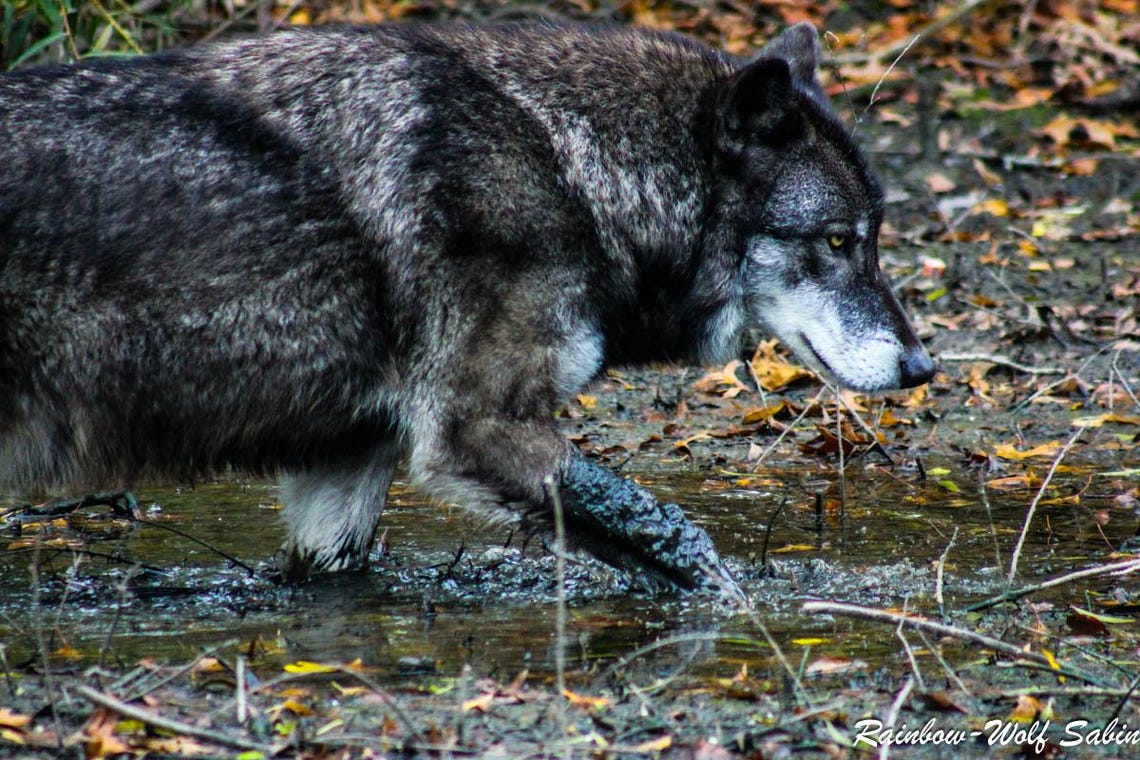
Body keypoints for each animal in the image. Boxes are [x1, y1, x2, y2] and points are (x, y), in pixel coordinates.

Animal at [0, 21, 934, 596]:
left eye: (875, 237)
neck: (574, 170)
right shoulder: (477, 429)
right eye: (841, 241)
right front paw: (741, 613)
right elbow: (671, 533)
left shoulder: (346, 474)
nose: (924, 366)